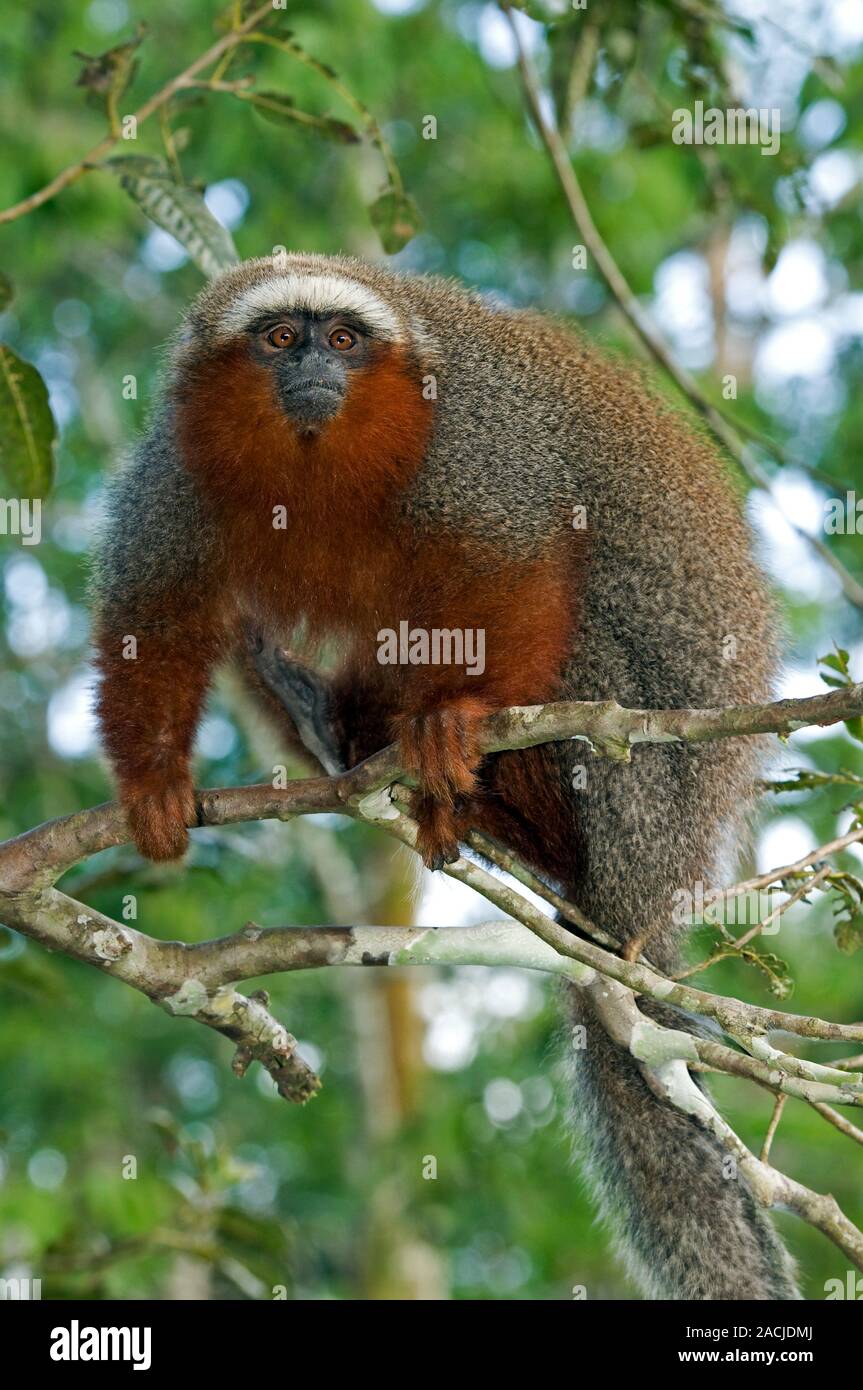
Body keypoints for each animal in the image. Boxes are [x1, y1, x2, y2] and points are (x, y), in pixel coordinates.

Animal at [92, 251, 800, 1301]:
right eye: (279, 338)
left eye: (345, 339)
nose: (315, 368)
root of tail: (641, 899)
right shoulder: (173, 473)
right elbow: (157, 615)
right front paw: (151, 780)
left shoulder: (476, 438)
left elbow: (526, 558)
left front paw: (454, 720)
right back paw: (363, 749)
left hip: (642, 800)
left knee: (583, 654)